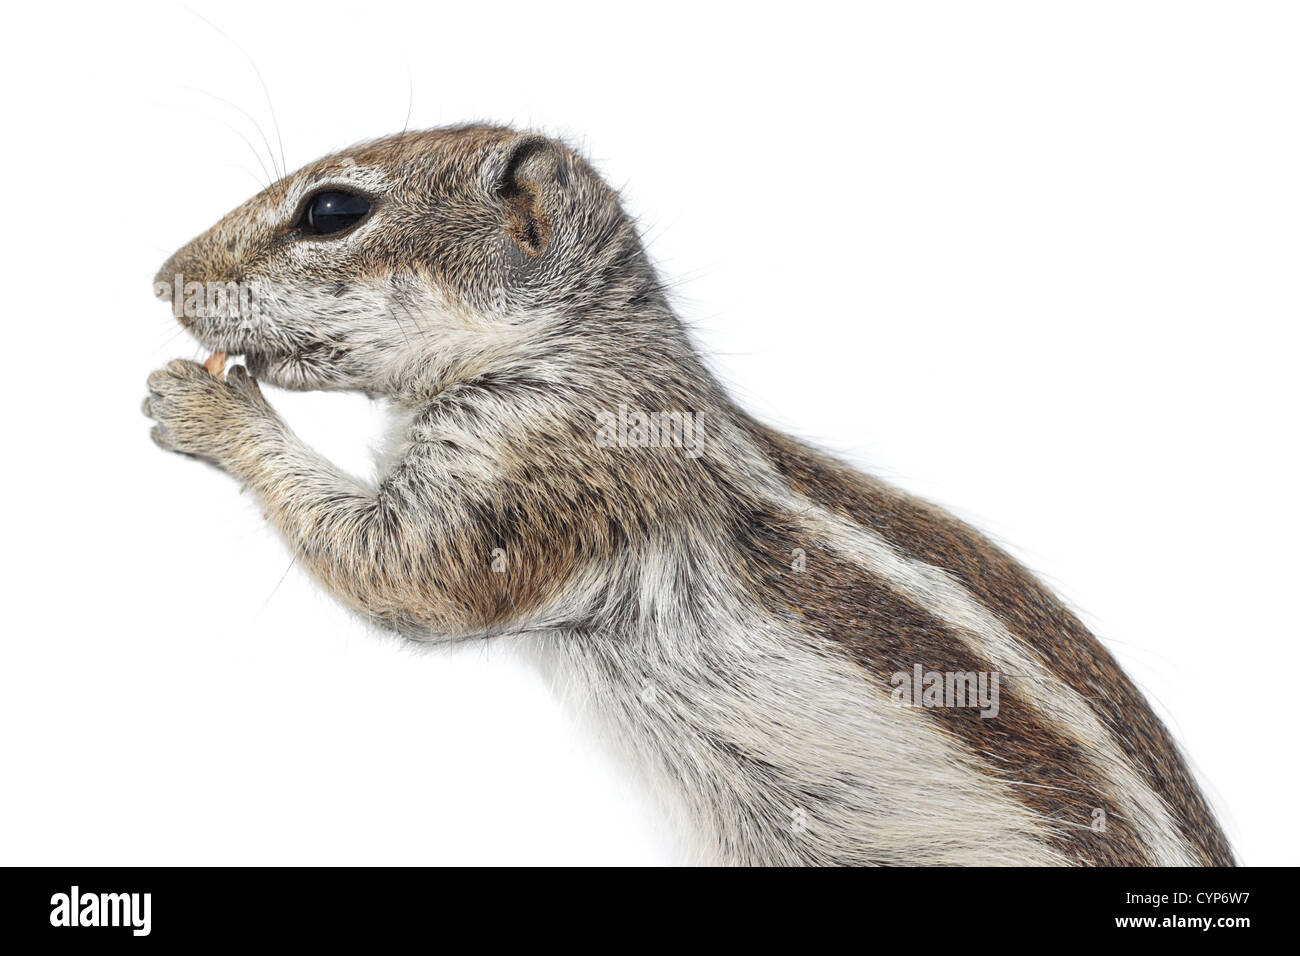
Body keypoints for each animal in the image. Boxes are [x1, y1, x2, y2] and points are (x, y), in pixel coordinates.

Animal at [145, 124, 1233, 866]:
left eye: (332, 211)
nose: (161, 279)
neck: (582, 352)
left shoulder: (538, 481)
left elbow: (405, 572)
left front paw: (204, 404)